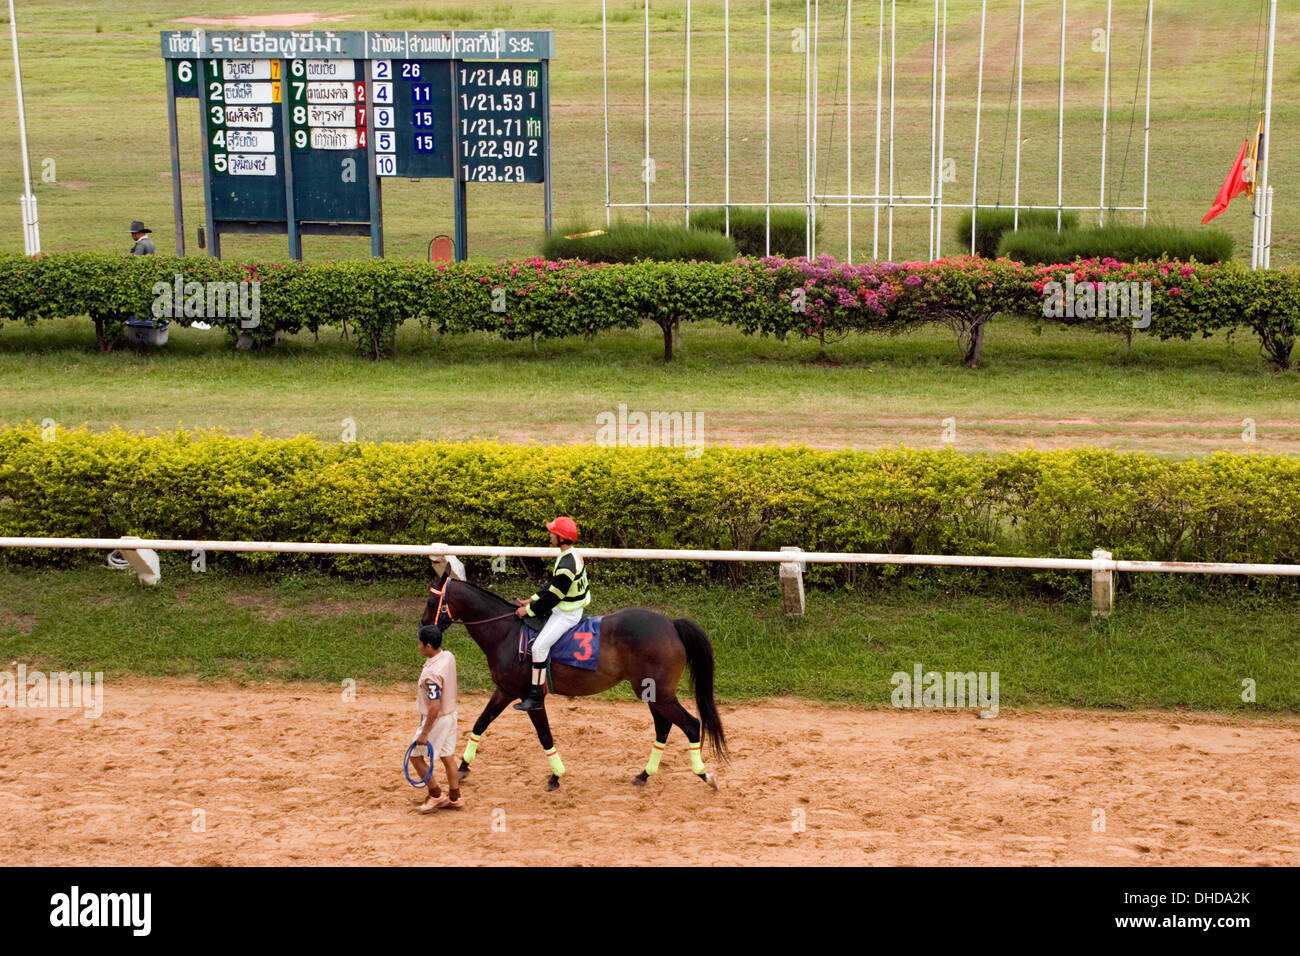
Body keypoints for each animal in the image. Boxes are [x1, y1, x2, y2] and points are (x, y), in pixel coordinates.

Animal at [421, 567, 727, 791]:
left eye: (431, 601)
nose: (424, 630)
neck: (507, 632)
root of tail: (671, 624)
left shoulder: (529, 698)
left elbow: (544, 736)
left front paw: (556, 776)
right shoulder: (504, 691)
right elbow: (480, 723)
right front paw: (463, 766)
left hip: (659, 693)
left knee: (691, 724)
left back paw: (704, 774)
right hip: (651, 693)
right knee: (664, 727)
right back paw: (644, 774)